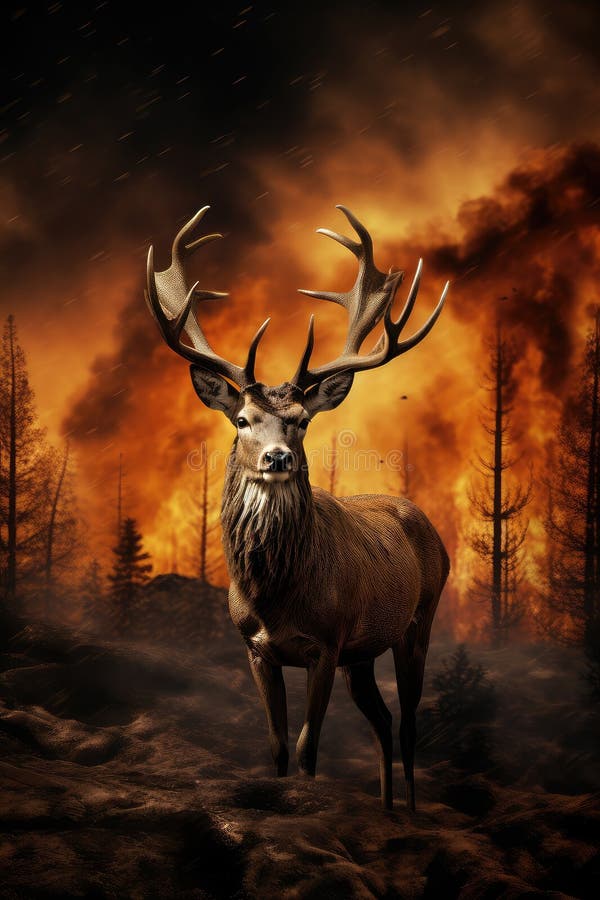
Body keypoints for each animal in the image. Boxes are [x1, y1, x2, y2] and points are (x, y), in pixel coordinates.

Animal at [145, 204, 450, 811]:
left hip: (418, 620)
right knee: (382, 724)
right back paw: (384, 811)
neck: (275, 596)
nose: (278, 457)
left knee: (408, 724)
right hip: (364, 651)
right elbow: (279, 745)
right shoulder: (257, 648)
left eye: (302, 421)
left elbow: (310, 746)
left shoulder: (326, 643)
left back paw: (407, 812)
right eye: (242, 420)